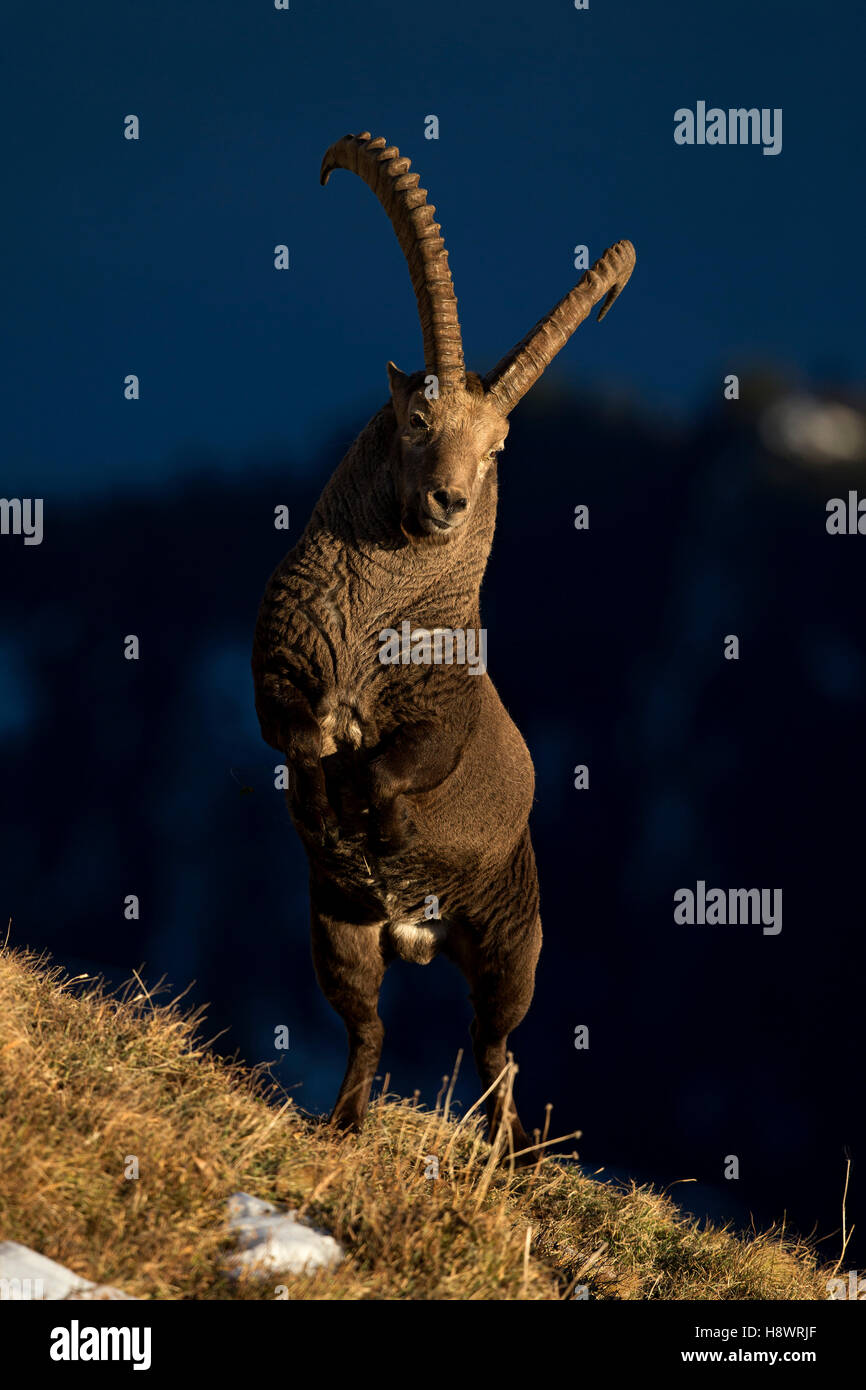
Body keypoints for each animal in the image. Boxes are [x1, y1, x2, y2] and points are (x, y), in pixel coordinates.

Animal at [252, 131, 634, 1156]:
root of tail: (420, 942)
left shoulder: (440, 719)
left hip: (513, 941)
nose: (449, 501)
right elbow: (297, 733)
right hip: (335, 930)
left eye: (498, 445)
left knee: (496, 1045)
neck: (374, 629)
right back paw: (345, 1125)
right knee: (370, 1027)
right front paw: (330, 799)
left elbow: (400, 765)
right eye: (417, 418)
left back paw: (512, 1155)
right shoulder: (280, 672)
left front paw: (378, 825)